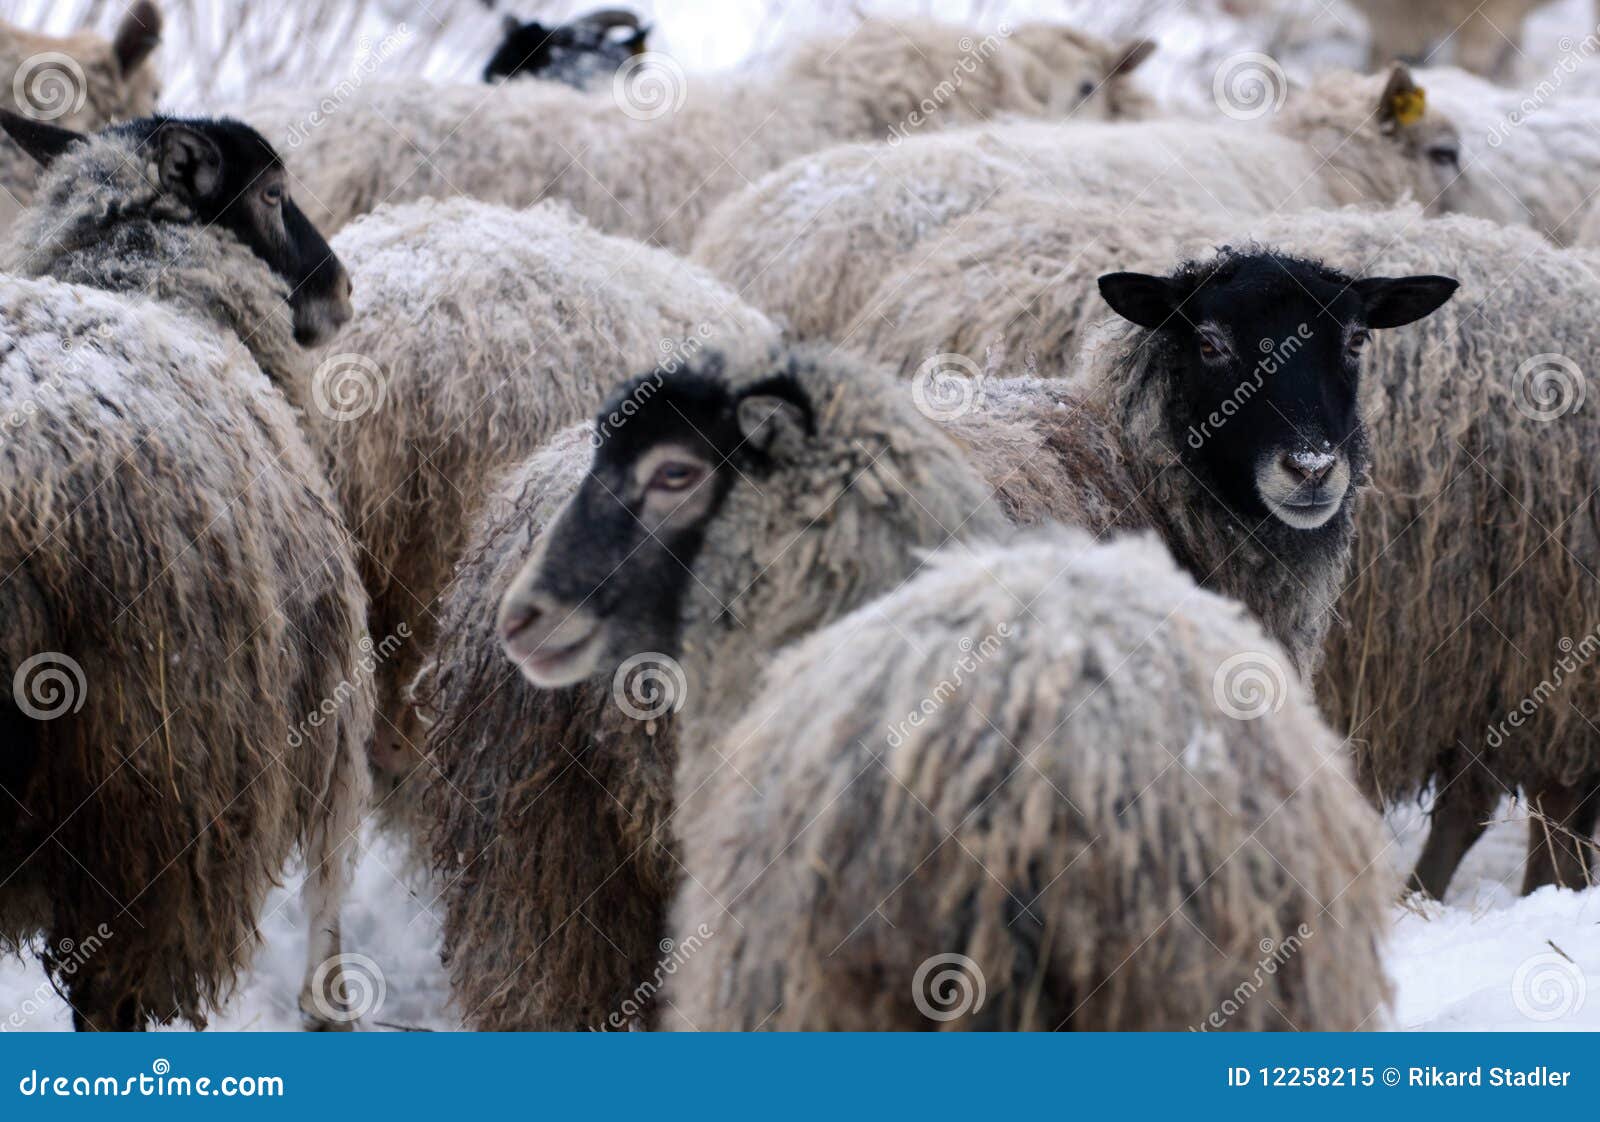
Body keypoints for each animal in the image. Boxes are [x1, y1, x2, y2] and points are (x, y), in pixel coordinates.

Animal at [0, 110, 372, 1029]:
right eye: (273, 194)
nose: (345, 290)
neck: (152, 280)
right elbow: (329, 887)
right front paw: (331, 1004)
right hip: (149, 809)